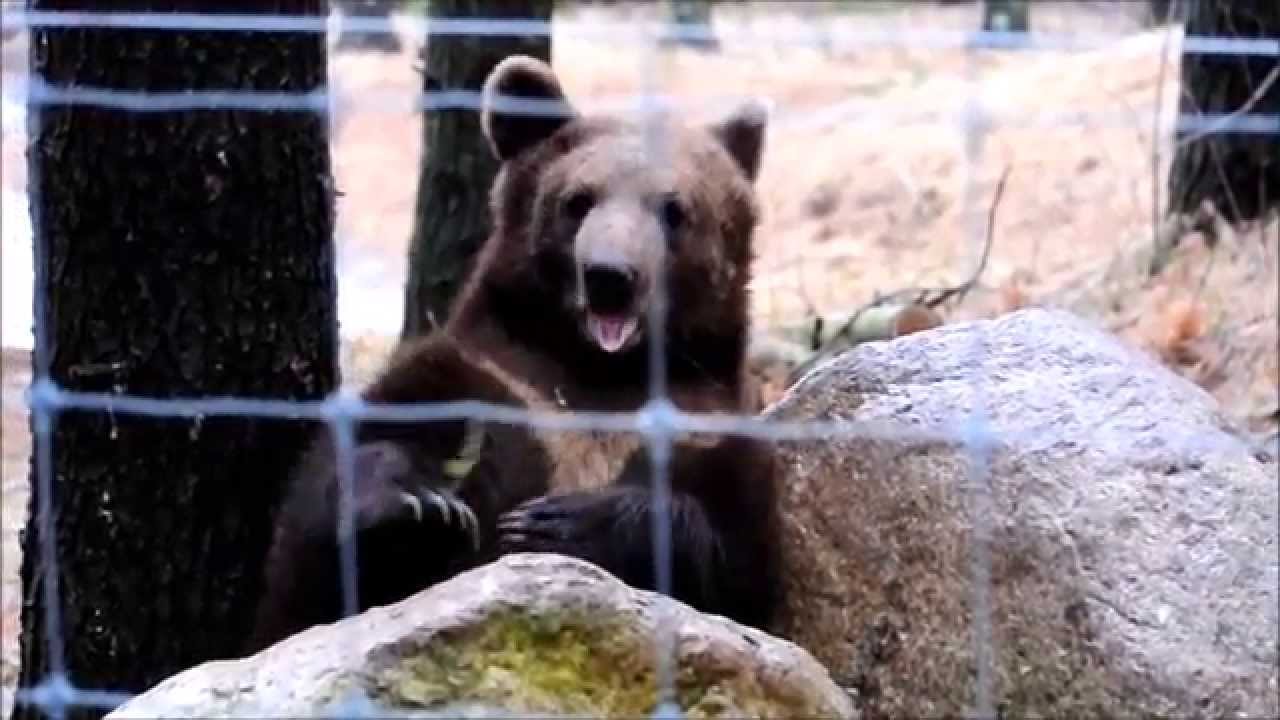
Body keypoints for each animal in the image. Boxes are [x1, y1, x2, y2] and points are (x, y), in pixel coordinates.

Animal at [247, 54, 780, 654]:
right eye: (577, 200)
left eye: (674, 210)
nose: (609, 276)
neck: (597, 369)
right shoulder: (478, 380)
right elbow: (304, 562)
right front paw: (421, 504)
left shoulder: (715, 431)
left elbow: (736, 568)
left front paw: (562, 522)